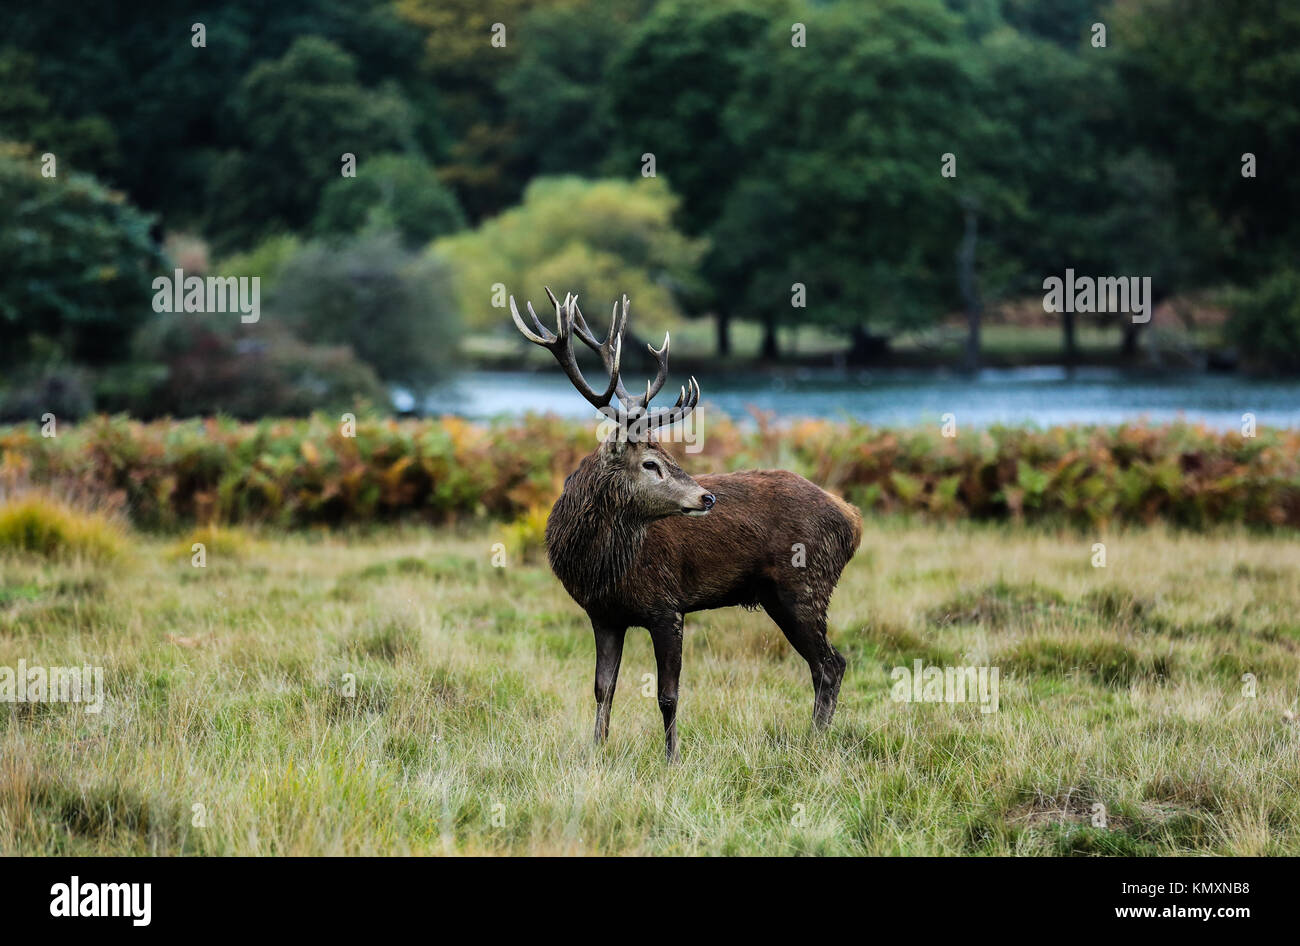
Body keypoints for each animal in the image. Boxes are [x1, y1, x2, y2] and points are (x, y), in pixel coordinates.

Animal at [511, 288, 862, 762]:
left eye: (672, 455)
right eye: (651, 462)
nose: (706, 497)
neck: (601, 567)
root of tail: (852, 520)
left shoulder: (666, 605)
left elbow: (667, 694)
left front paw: (672, 758)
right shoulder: (603, 614)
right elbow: (603, 688)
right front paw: (596, 750)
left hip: (806, 585)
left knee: (831, 663)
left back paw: (814, 741)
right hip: (780, 596)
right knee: (824, 663)